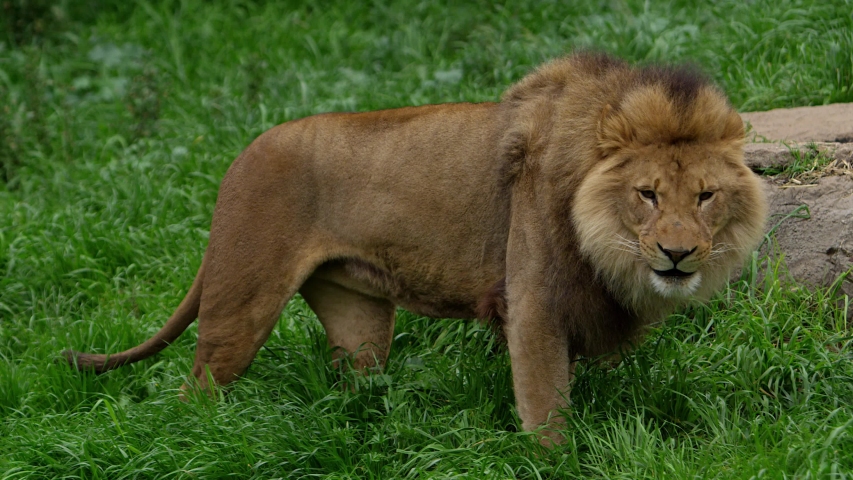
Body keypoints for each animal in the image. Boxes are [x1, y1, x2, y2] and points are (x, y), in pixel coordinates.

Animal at [63, 52, 767, 445]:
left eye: (705, 196)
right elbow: (546, 408)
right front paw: (555, 459)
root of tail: (239, 156)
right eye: (647, 194)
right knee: (197, 392)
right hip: (240, 302)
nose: (677, 254)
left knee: (355, 381)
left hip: (360, 322)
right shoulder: (533, 304)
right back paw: (202, 436)